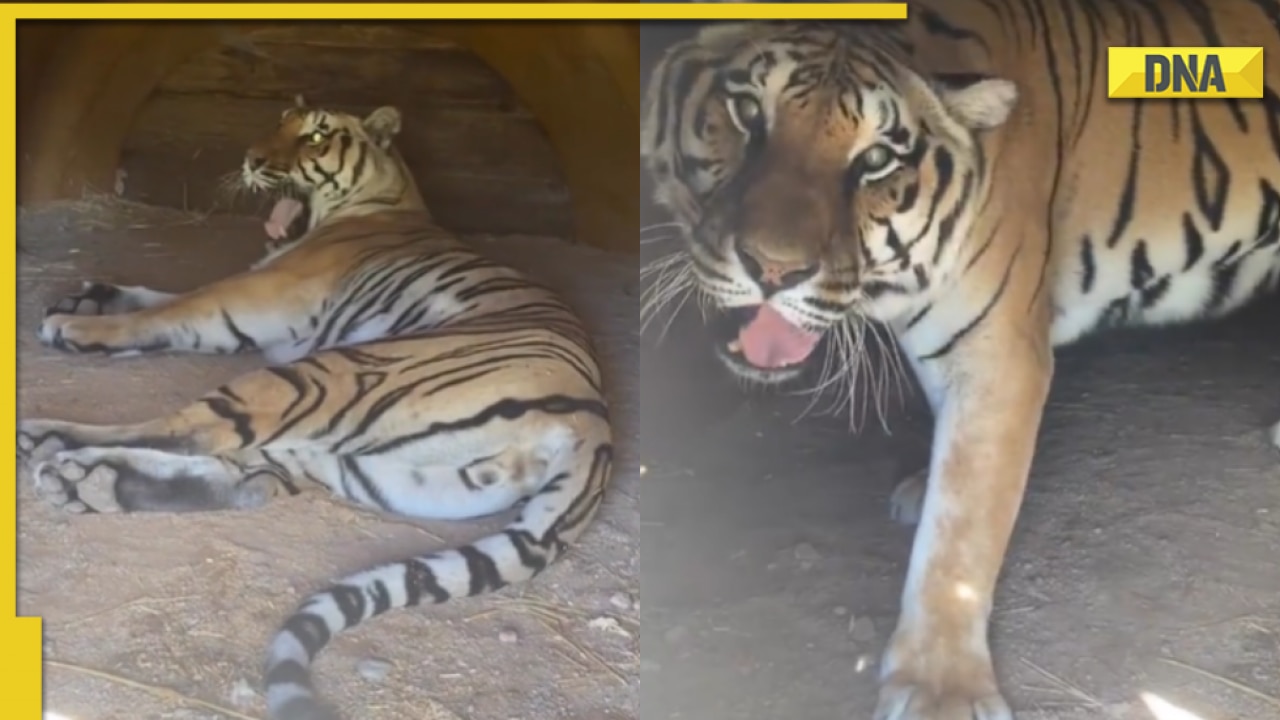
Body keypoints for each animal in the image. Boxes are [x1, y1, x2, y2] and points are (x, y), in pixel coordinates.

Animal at [18, 98, 614, 720]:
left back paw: (53, 447)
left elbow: (170, 310)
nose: (252, 159)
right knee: (250, 480)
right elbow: (159, 300)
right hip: (366, 464)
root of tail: (592, 426)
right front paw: (90, 296)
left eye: (315, 135)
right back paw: (89, 482)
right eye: (281, 121)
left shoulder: (256, 296)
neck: (386, 198)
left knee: (196, 432)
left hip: (327, 374)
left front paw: (75, 324)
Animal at [640, 3, 1280, 719]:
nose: (774, 269)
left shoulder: (999, 356)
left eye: (876, 159)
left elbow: (964, 529)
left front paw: (940, 687)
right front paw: (925, 484)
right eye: (748, 111)